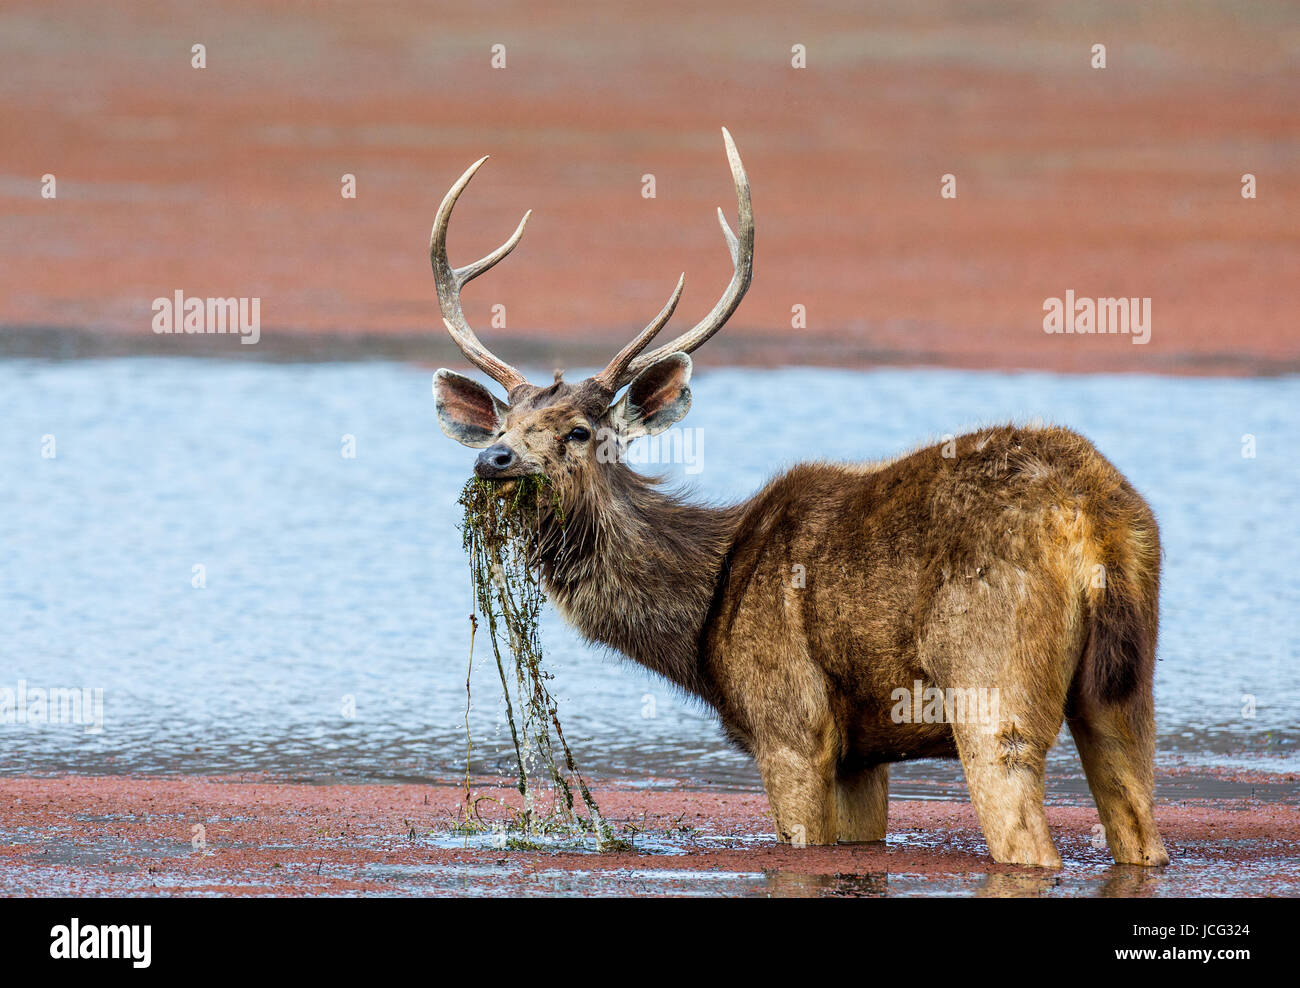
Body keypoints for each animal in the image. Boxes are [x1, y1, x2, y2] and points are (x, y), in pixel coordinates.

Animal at [430, 129, 1169, 868]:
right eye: (503, 426)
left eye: (579, 431)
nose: (495, 459)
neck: (702, 625)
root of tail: (1093, 523)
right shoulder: (863, 754)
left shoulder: (791, 723)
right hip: (1127, 691)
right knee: (1140, 827)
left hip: (991, 685)